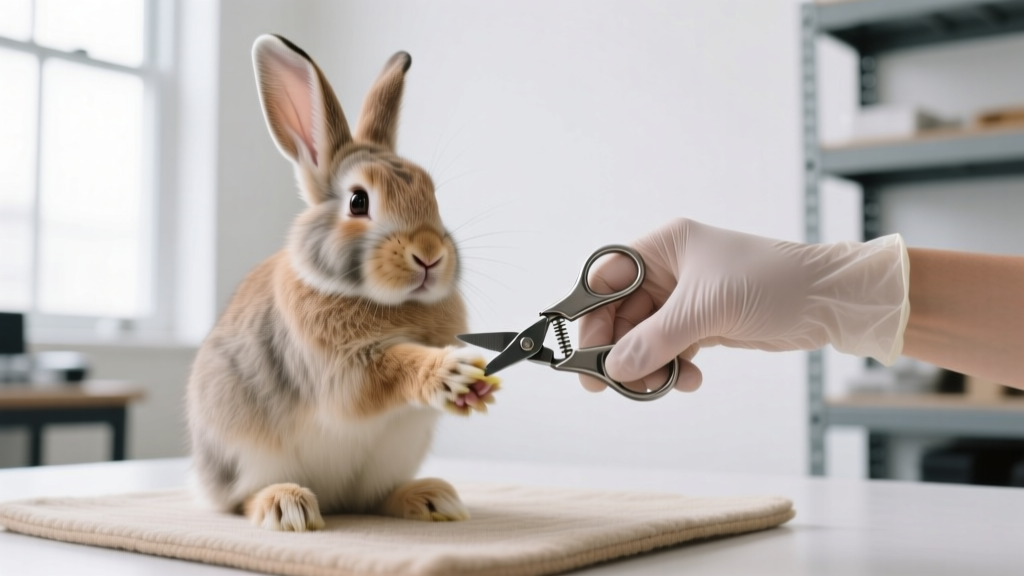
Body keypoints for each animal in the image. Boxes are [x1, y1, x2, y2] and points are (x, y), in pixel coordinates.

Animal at [186, 34, 499, 532]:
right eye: (358, 201)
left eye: (433, 194)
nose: (430, 255)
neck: (389, 302)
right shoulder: (341, 372)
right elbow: (390, 369)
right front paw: (451, 374)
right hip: (243, 453)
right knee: (241, 500)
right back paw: (287, 507)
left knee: (374, 497)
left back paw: (432, 499)